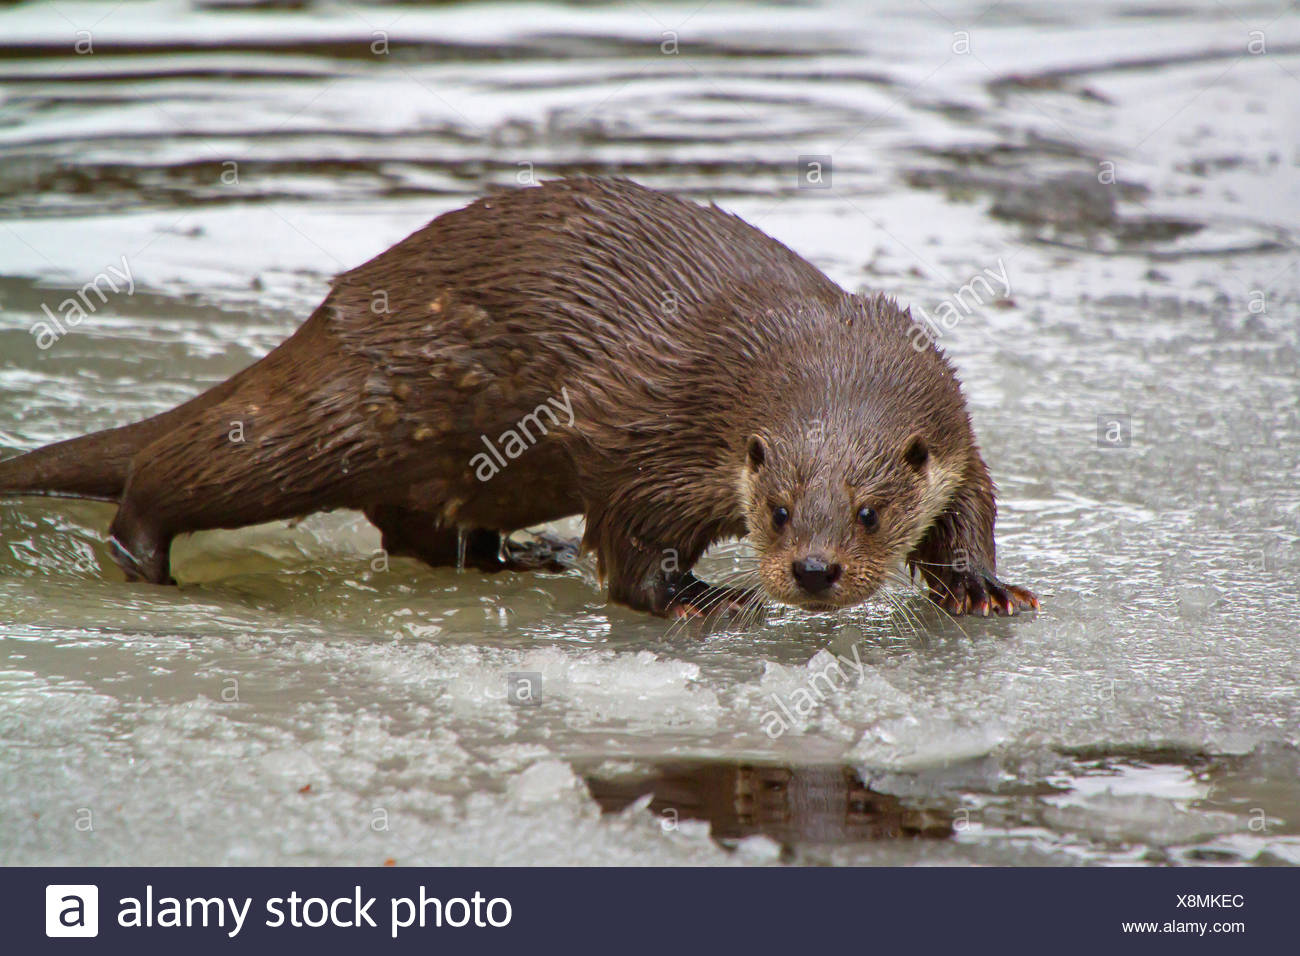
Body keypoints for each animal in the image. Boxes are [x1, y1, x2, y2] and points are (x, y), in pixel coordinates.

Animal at [0, 177, 1036, 618]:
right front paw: (699, 599)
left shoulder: (958, 436)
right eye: (778, 511)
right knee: (176, 467)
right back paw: (145, 565)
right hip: (332, 415)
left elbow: (971, 506)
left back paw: (516, 558)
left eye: (867, 513)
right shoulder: (644, 431)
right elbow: (630, 541)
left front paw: (982, 585)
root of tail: (335, 307)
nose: (813, 573)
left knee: (417, 528)